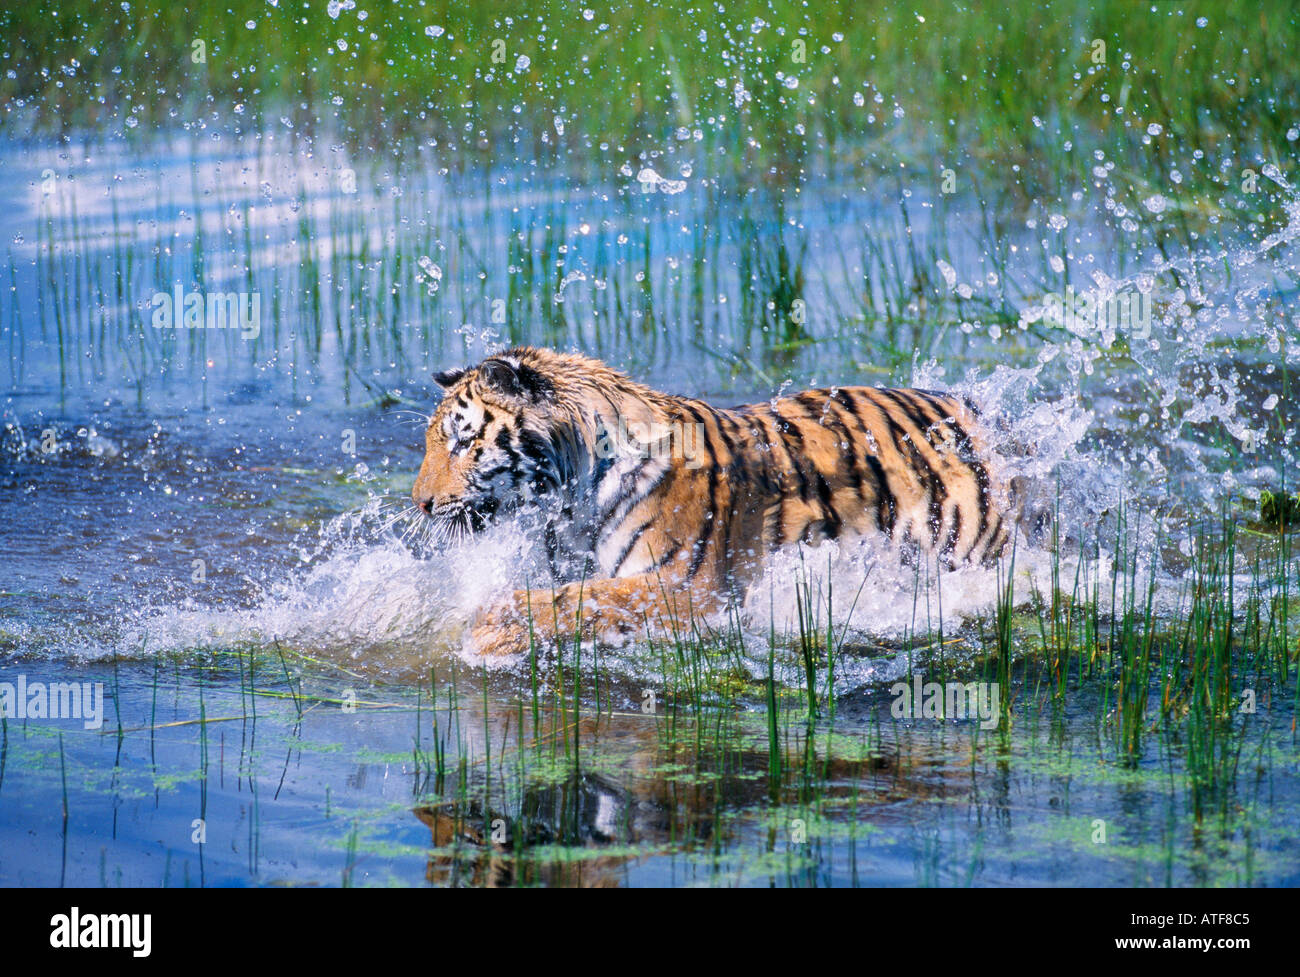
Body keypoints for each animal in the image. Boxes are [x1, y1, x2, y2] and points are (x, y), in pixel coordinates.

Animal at [412, 346, 1020, 657]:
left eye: (462, 441)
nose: (420, 504)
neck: (572, 493)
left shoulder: (683, 584)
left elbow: (557, 603)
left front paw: (481, 637)